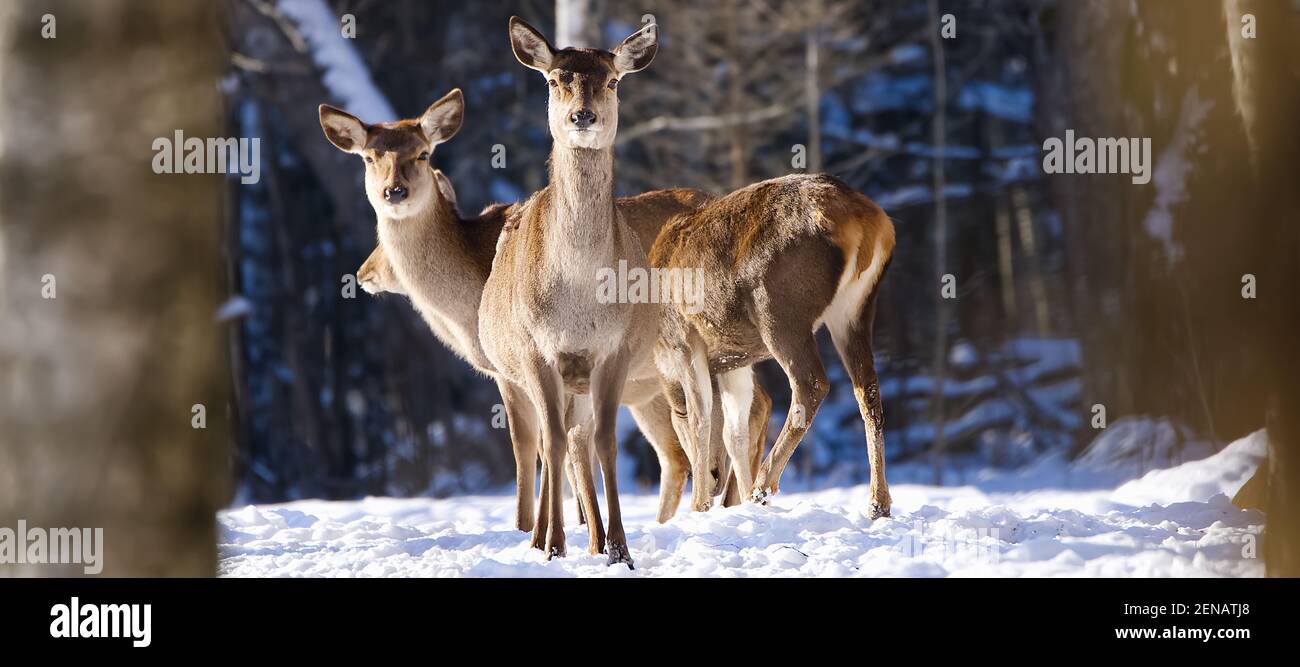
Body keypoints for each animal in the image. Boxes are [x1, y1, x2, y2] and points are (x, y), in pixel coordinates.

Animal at [320, 89, 770, 557]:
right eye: (370, 157)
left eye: (423, 153)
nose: (395, 192)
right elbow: (565, 444)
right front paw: (576, 533)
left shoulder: (514, 369)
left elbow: (528, 445)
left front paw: (533, 531)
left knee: (733, 418)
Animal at [651, 173, 896, 520]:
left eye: (677, 415)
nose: (713, 478)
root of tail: (865, 220)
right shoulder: (734, 360)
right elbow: (734, 431)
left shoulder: (685, 340)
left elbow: (703, 418)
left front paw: (699, 507)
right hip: (855, 308)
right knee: (868, 390)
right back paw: (878, 503)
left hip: (777, 310)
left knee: (812, 384)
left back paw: (761, 488)